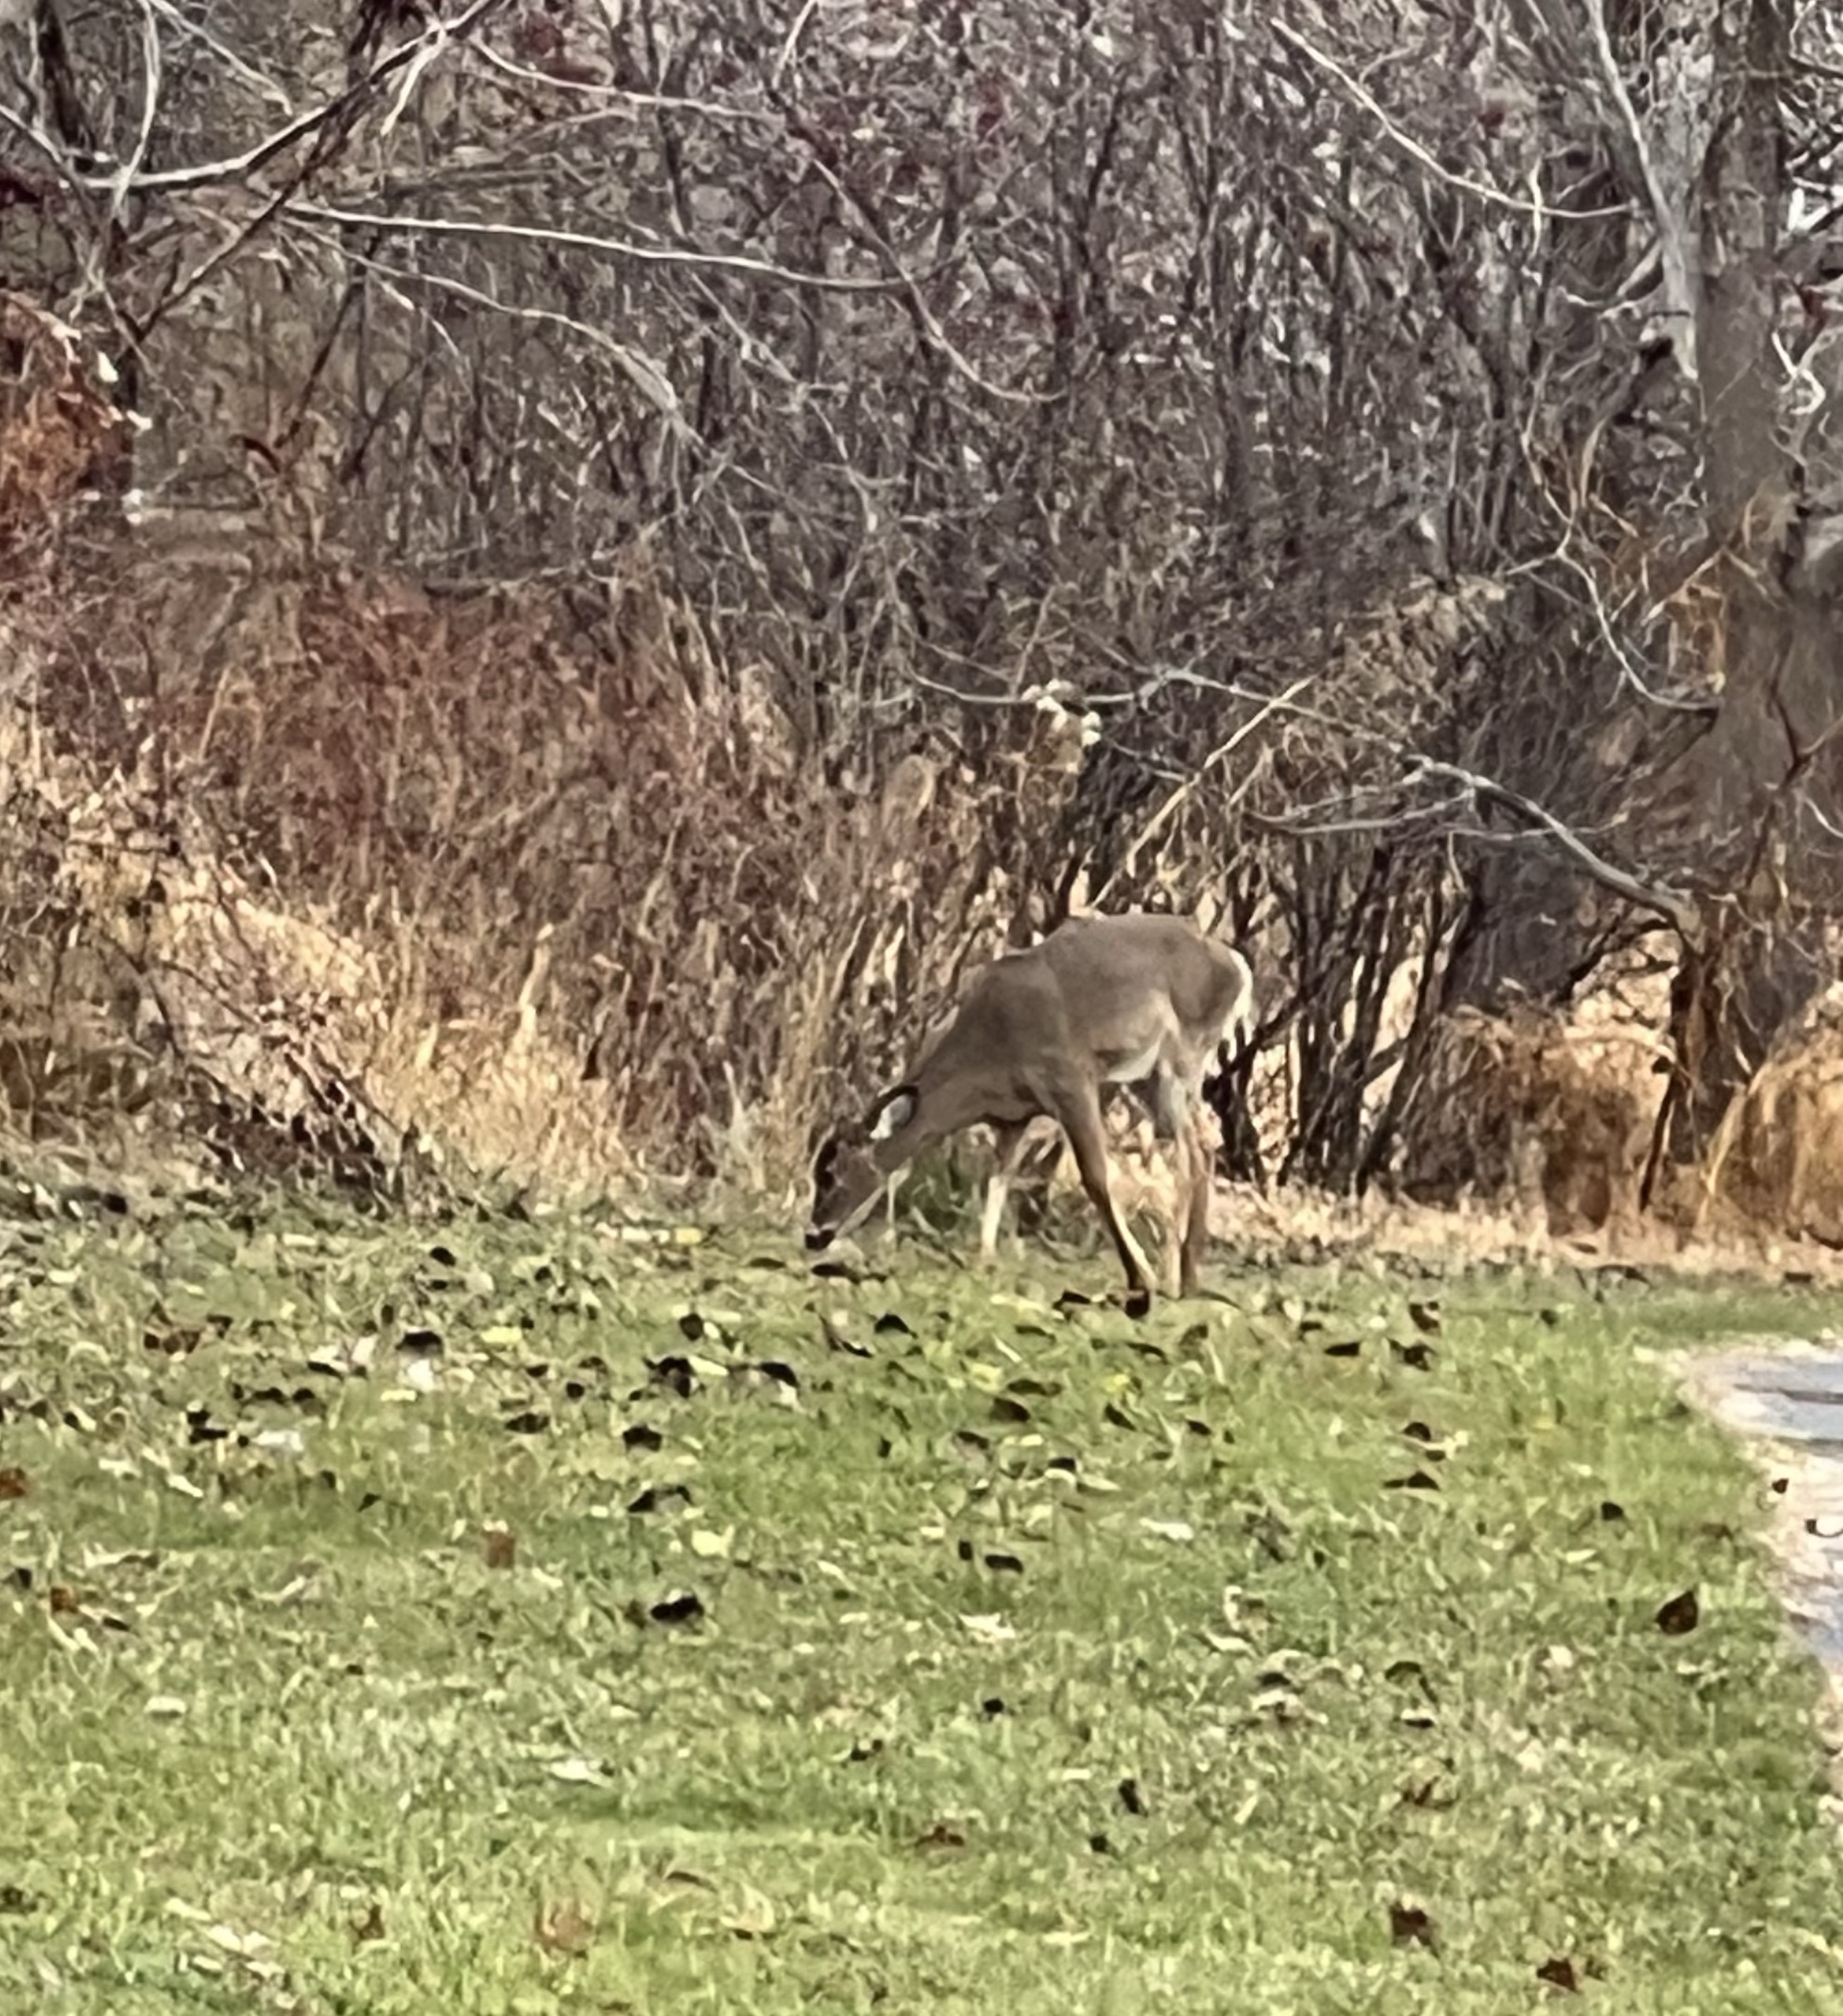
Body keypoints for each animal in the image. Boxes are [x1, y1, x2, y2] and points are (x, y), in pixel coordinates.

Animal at [804, 911, 1255, 1312]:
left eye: (835, 1174)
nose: (812, 1234)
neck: (987, 1055)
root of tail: (1239, 965)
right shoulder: (1013, 1116)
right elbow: (997, 1178)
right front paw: (984, 1259)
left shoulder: (1069, 1079)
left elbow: (1096, 1178)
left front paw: (1140, 1279)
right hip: (1147, 1076)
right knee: (1204, 1145)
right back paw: (1187, 1276)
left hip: (1183, 1057)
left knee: (1196, 1146)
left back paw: (1178, 1276)